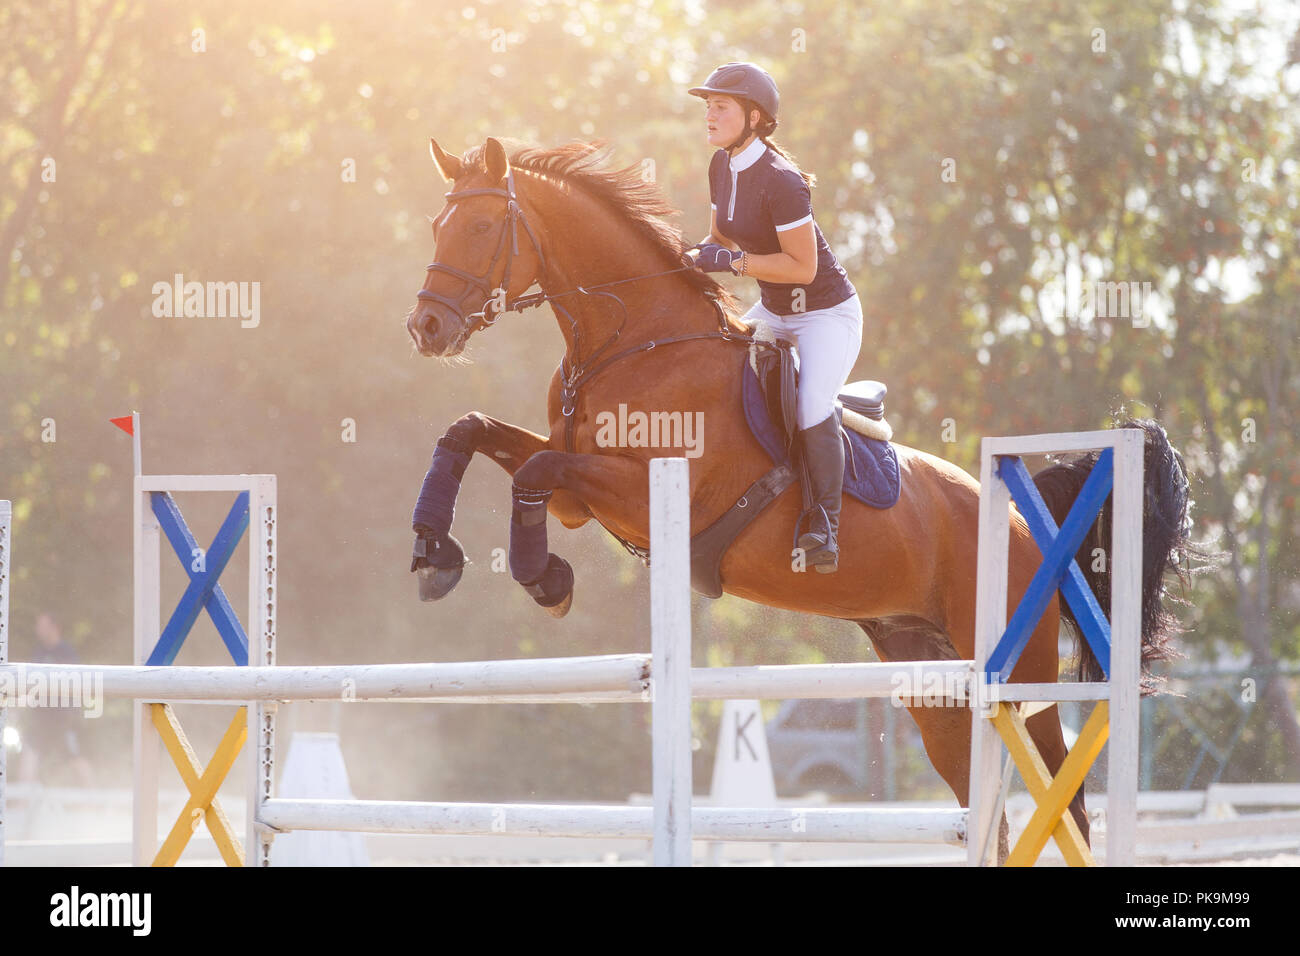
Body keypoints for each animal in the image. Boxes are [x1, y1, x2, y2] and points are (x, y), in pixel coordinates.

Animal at [404, 136, 1194, 861]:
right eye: (438, 225)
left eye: (482, 226)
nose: (427, 328)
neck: (636, 341)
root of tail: (1027, 523)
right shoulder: (578, 488)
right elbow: (472, 431)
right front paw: (435, 552)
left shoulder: (639, 489)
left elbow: (536, 467)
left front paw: (547, 579)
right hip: (932, 679)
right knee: (986, 811)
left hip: (1017, 676)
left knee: (1068, 805)